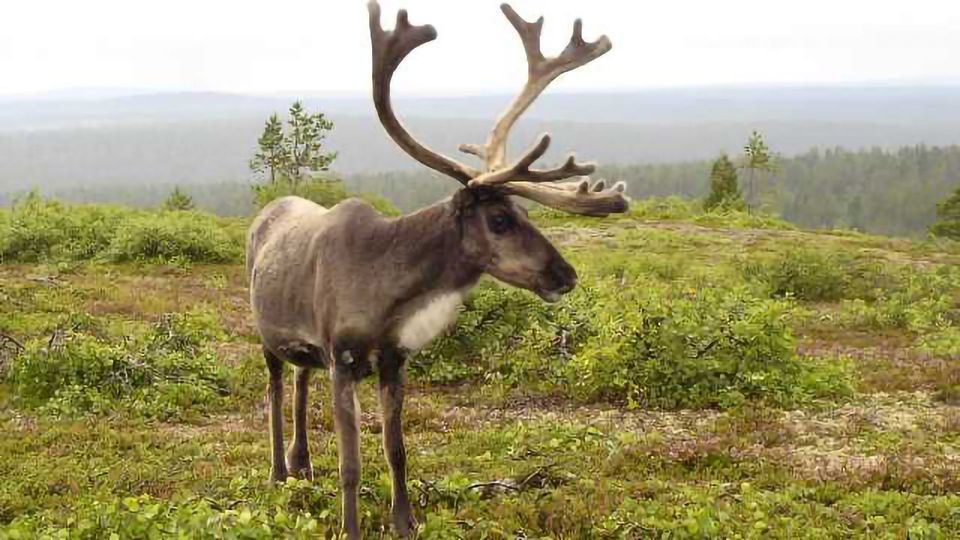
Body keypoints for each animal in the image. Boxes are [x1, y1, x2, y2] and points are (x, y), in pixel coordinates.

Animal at [245, 2, 626, 537]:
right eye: (500, 219)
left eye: (524, 211)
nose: (565, 274)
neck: (392, 291)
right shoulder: (342, 359)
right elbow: (351, 464)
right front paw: (350, 527)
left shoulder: (393, 360)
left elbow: (397, 450)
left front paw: (404, 522)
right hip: (266, 335)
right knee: (276, 390)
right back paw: (279, 471)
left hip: (306, 348)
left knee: (300, 379)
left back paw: (302, 464)